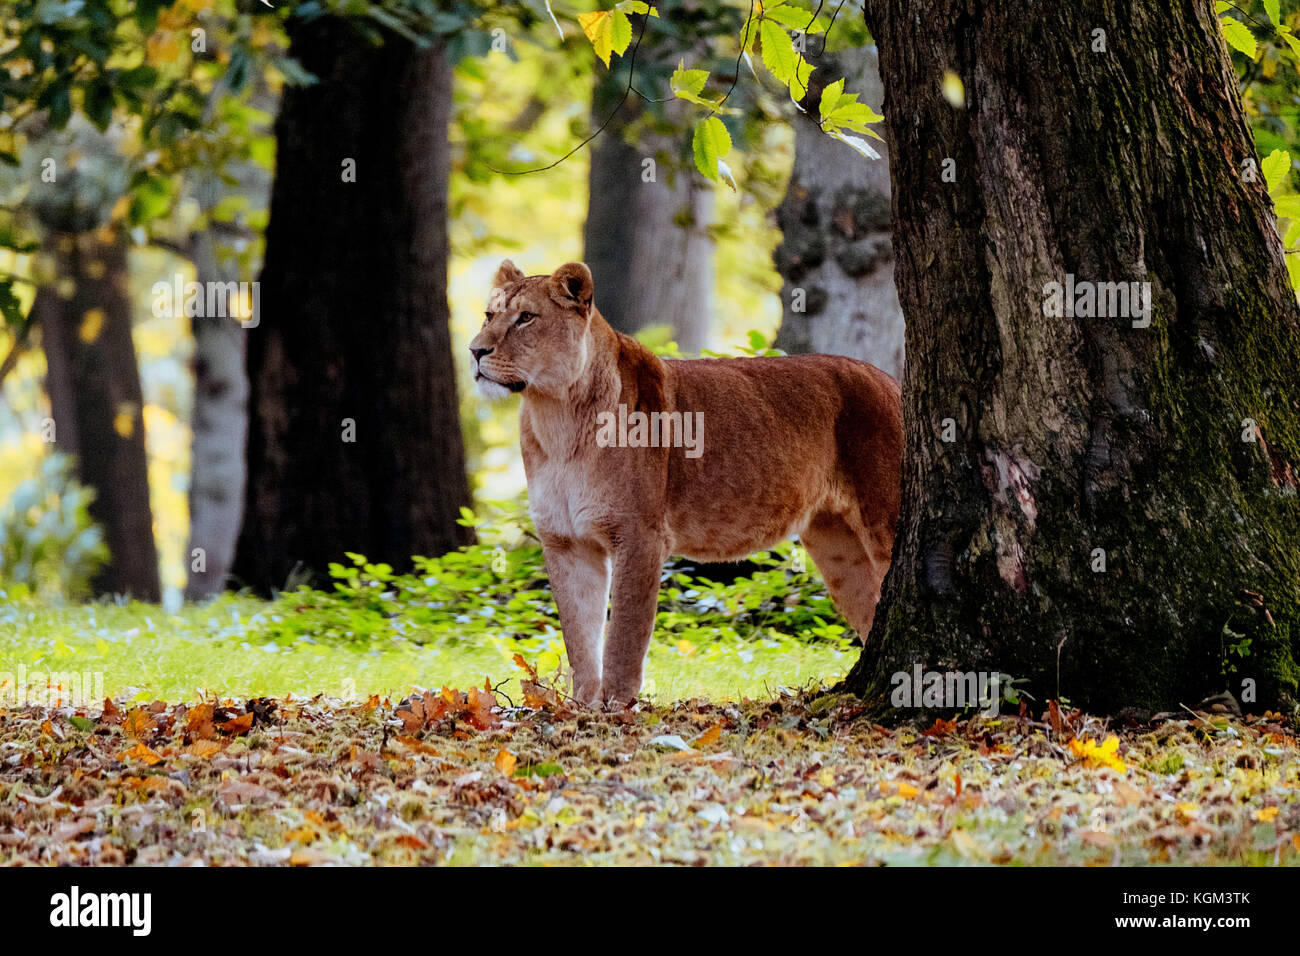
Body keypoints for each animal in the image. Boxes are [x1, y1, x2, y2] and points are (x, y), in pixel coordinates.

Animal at [469, 260, 903, 707]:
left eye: (526, 317)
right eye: (489, 315)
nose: (475, 351)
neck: (556, 417)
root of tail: (891, 381)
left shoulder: (639, 535)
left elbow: (624, 635)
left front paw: (615, 708)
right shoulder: (566, 542)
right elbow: (579, 636)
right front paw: (582, 707)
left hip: (886, 522)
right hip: (838, 549)